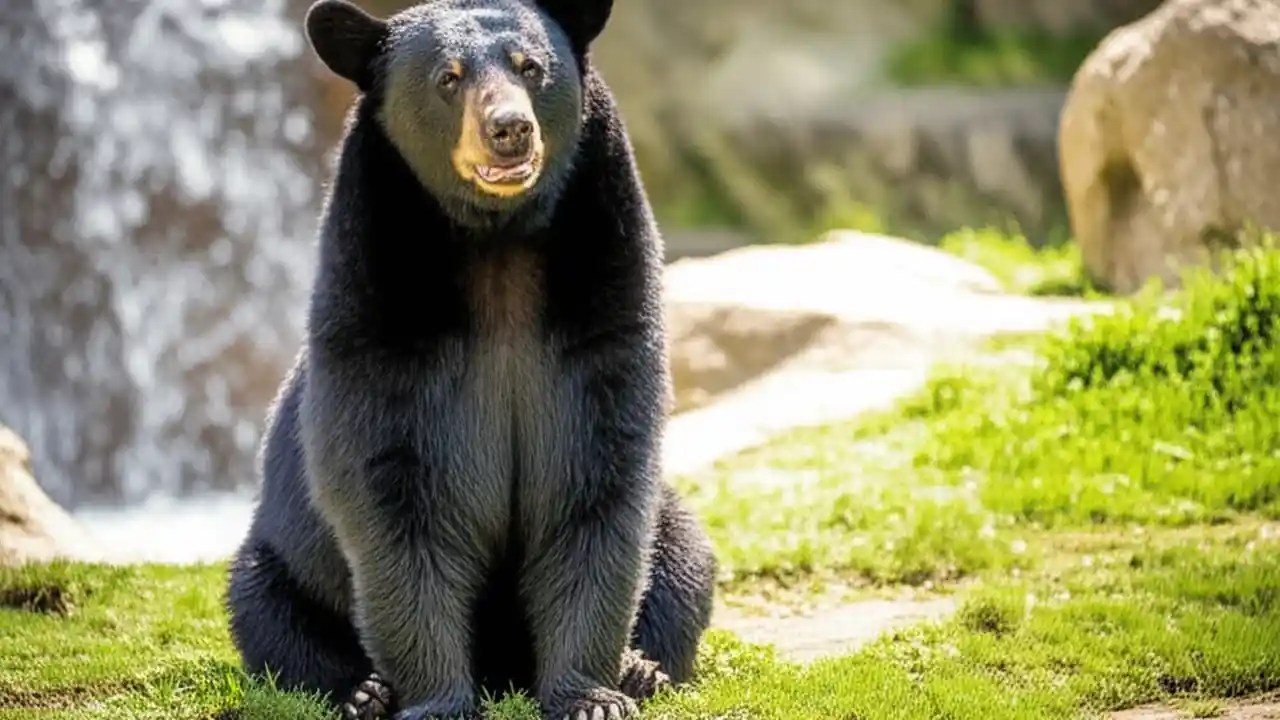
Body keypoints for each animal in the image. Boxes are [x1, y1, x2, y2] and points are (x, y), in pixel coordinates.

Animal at [223, 0, 718, 719]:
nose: (509, 129)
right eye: (448, 79)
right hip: (281, 550)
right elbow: (391, 497)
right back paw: (363, 690)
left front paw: (592, 694)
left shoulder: (606, 302)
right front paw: (438, 700)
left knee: (686, 559)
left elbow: (600, 482)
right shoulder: (373, 318)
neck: (497, 244)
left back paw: (640, 668)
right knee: (265, 610)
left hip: (674, 523)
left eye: (530, 67)